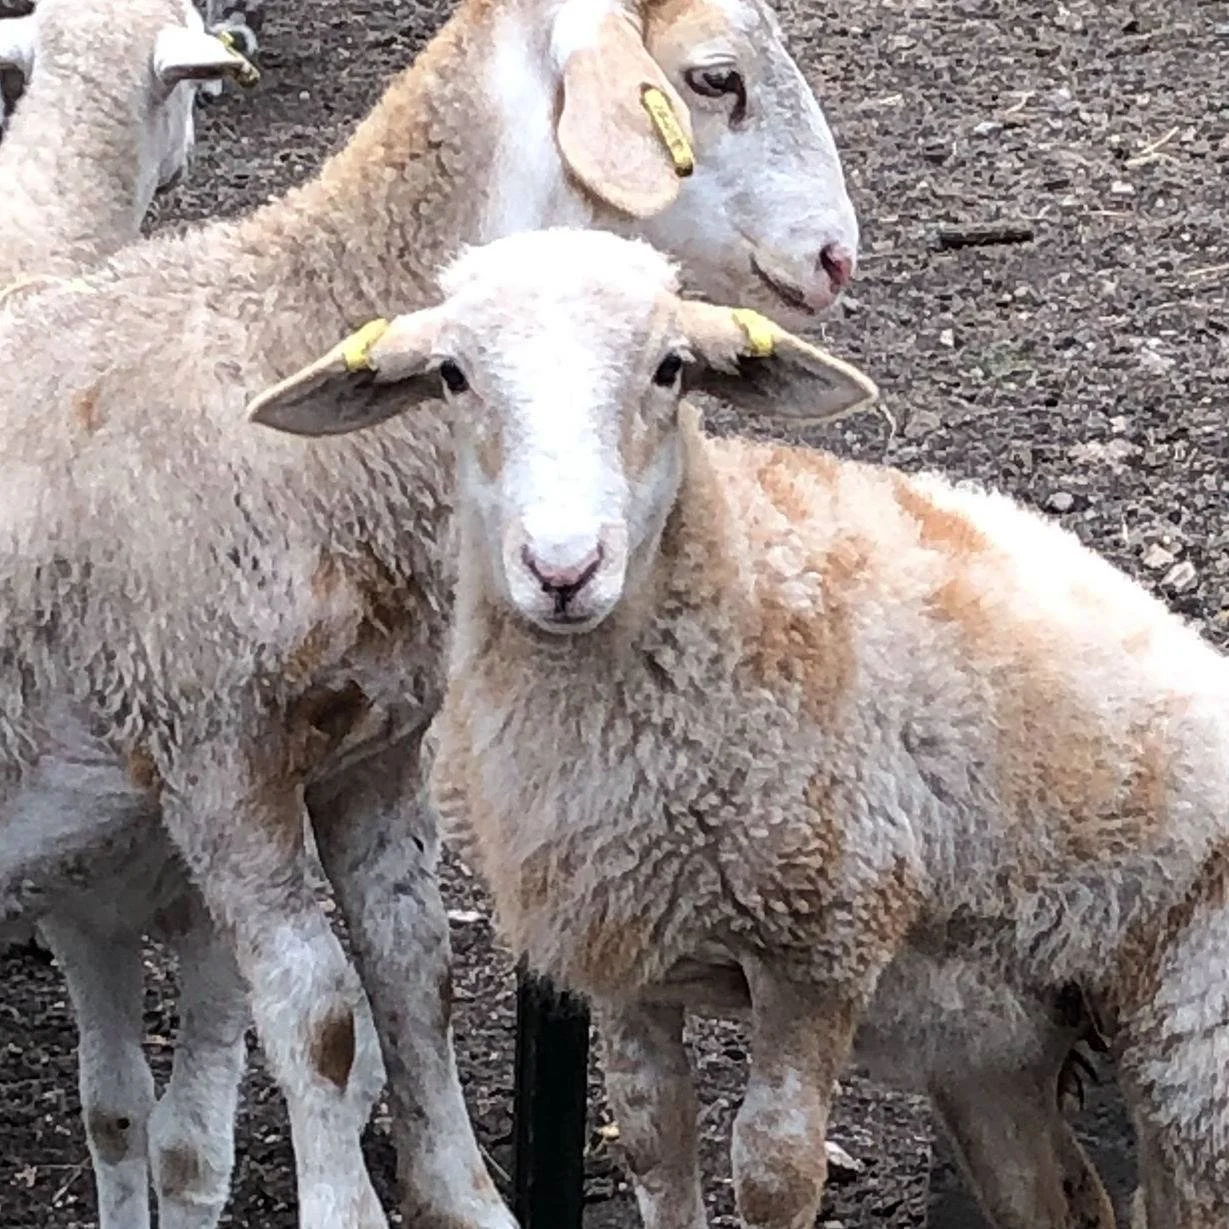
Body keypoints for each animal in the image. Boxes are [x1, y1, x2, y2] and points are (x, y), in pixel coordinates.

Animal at [0, 0, 864, 1224]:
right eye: (713, 79)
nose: (836, 255)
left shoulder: (370, 744)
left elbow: (415, 971)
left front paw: (462, 1192)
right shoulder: (212, 748)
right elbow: (319, 1016)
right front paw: (346, 1204)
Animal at [249, 226, 1229, 1229]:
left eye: (670, 368)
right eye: (452, 376)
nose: (562, 570)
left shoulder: (822, 945)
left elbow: (772, 1167)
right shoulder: (624, 953)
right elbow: (652, 1136)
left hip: (1192, 1045)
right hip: (996, 1049)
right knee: (1065, 1200)